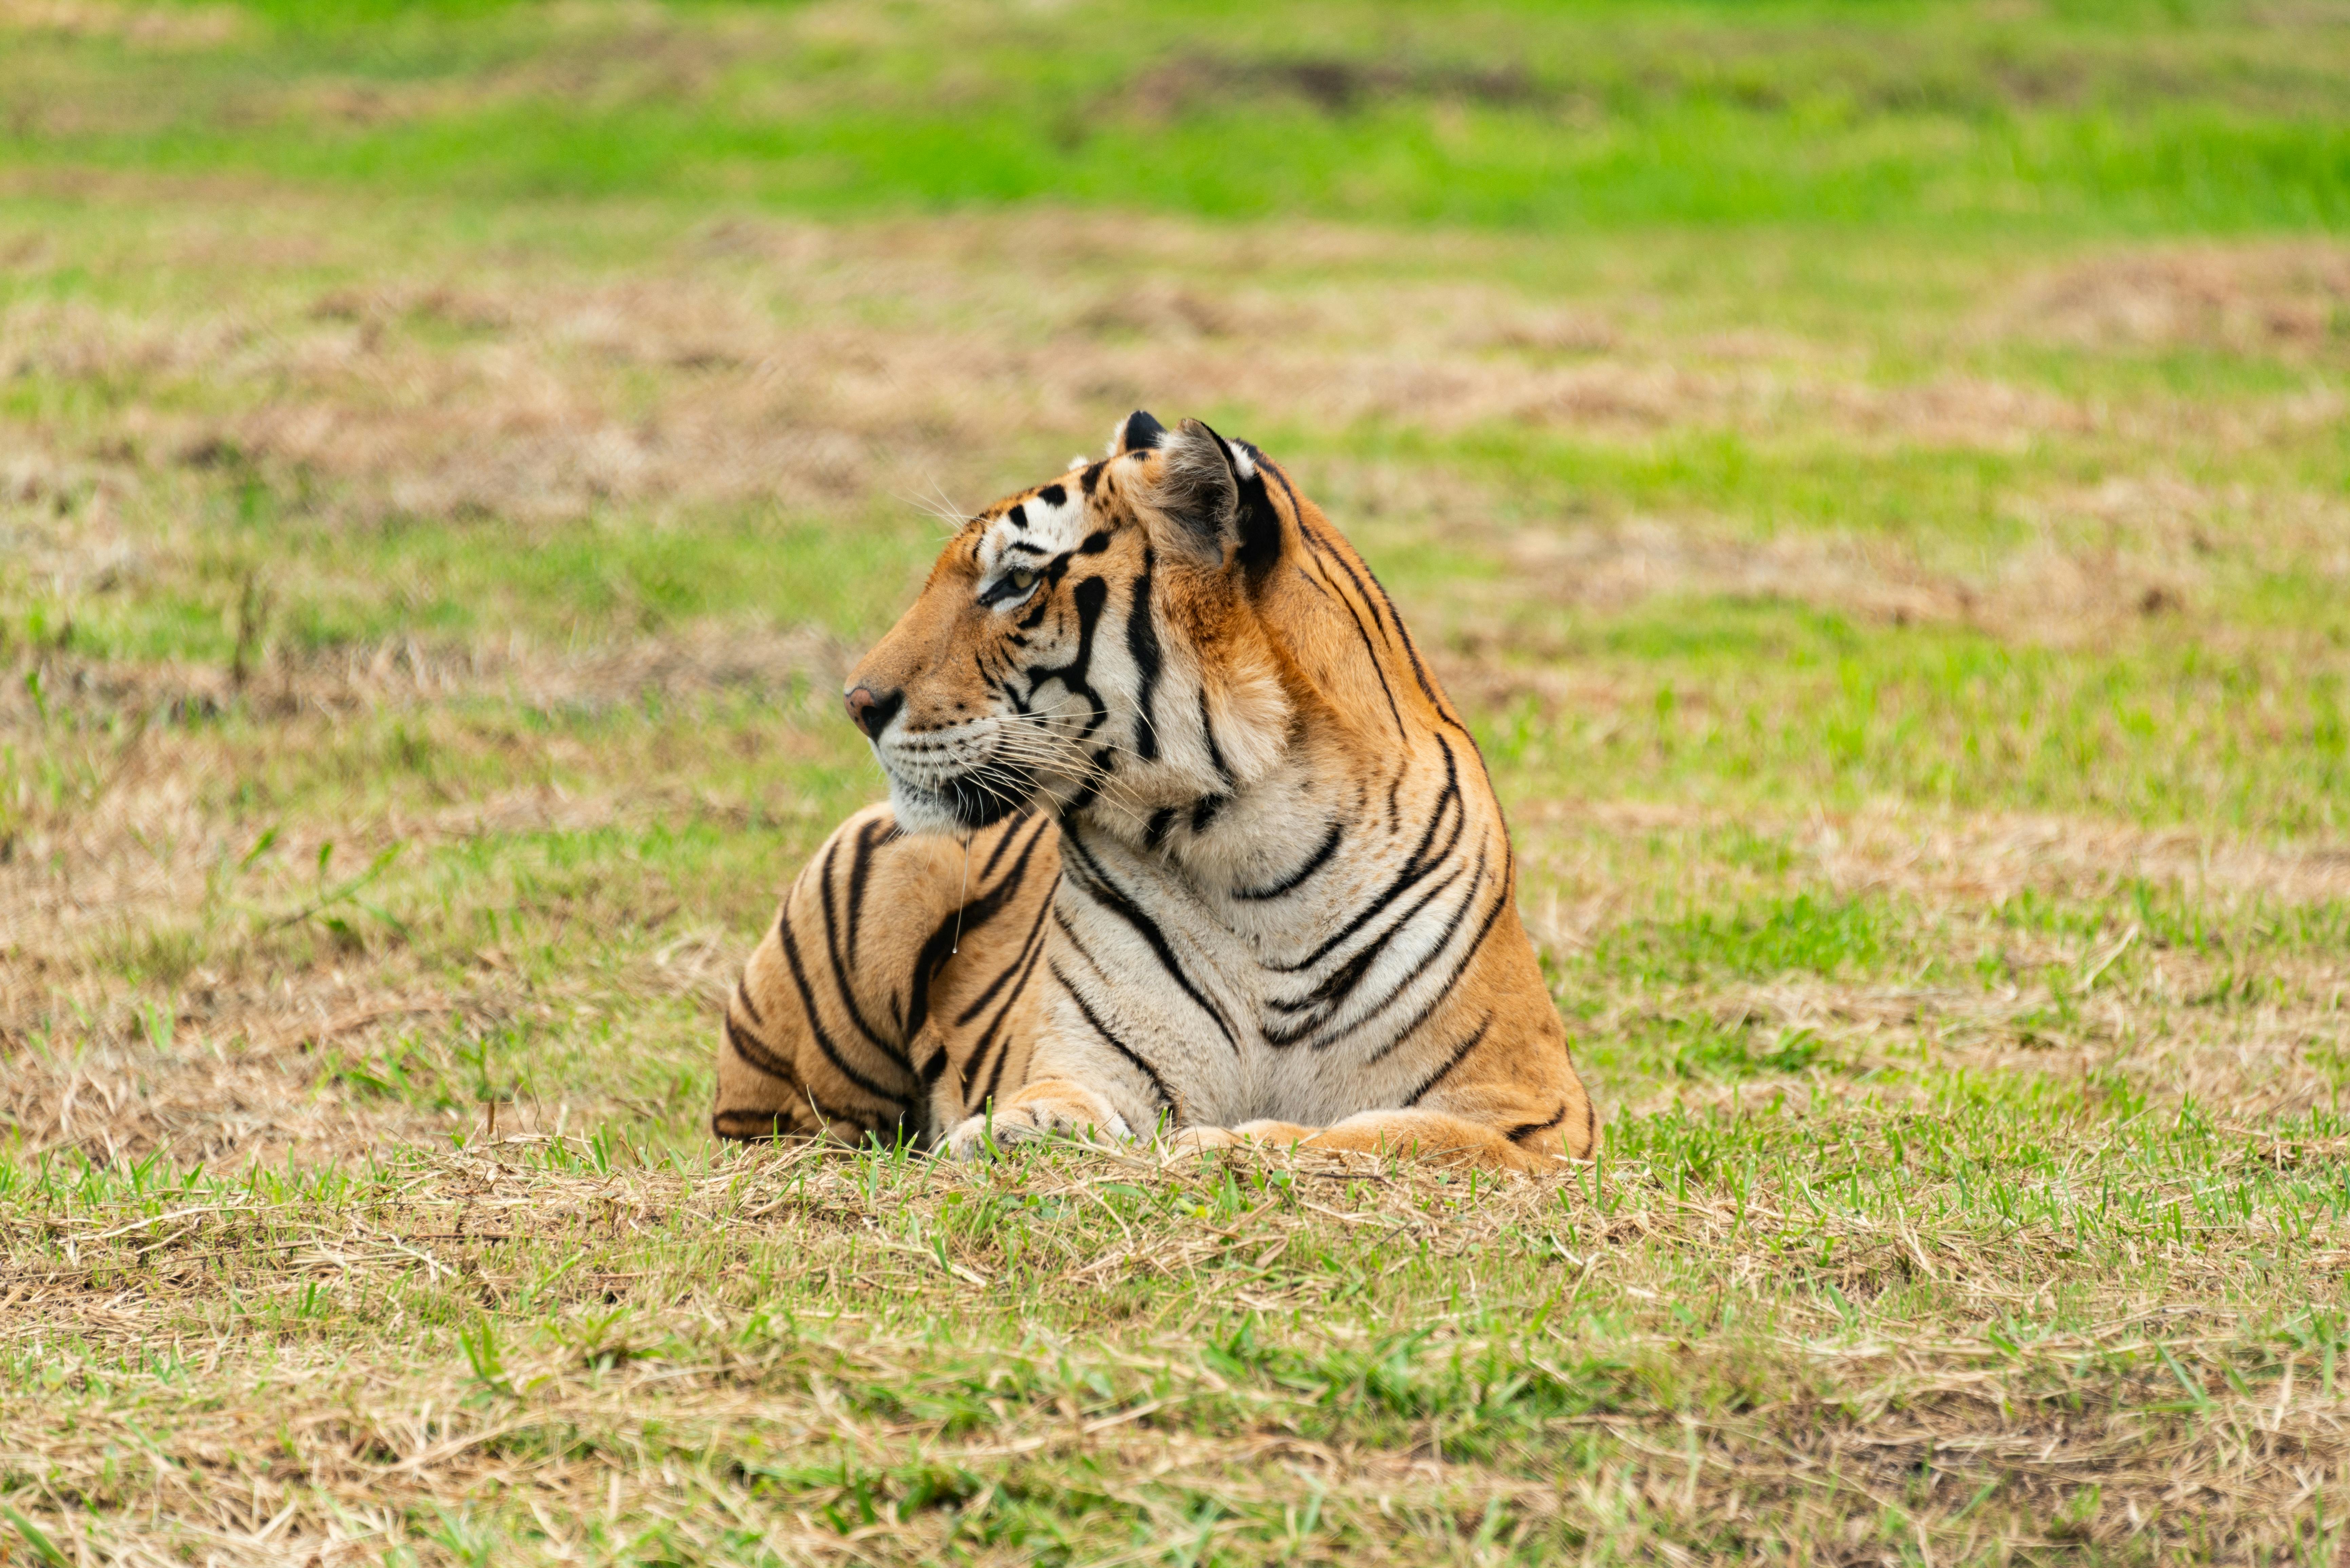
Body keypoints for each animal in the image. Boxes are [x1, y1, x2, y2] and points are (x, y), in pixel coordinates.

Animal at [712, 411, 1595, 1172]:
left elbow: (1393, 1135)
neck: (1253, 858)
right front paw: (1011, 1133)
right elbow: (1057, 1097)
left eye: (1015, 581)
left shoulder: (1534, 1114)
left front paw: (1227, 1144)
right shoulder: (1088, 1057)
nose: (857, 703)